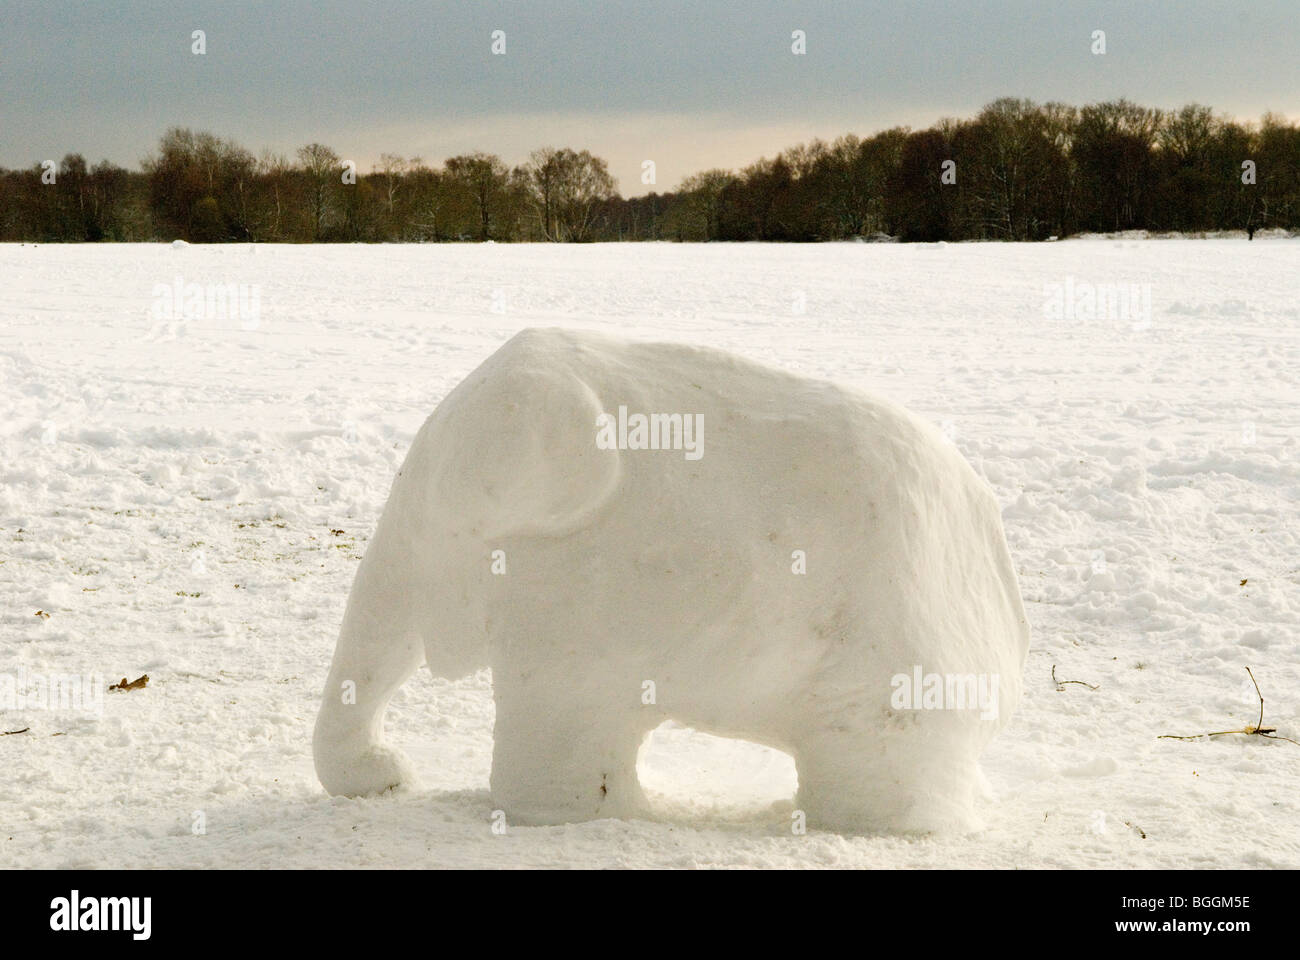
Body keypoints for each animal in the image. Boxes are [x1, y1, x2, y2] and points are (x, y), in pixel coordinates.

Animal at [313, 327, 1030, 834]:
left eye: (431, 519)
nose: (388, 777)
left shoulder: (575, 590)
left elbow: (559, 714)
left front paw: (556, 817)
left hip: (895, 650)